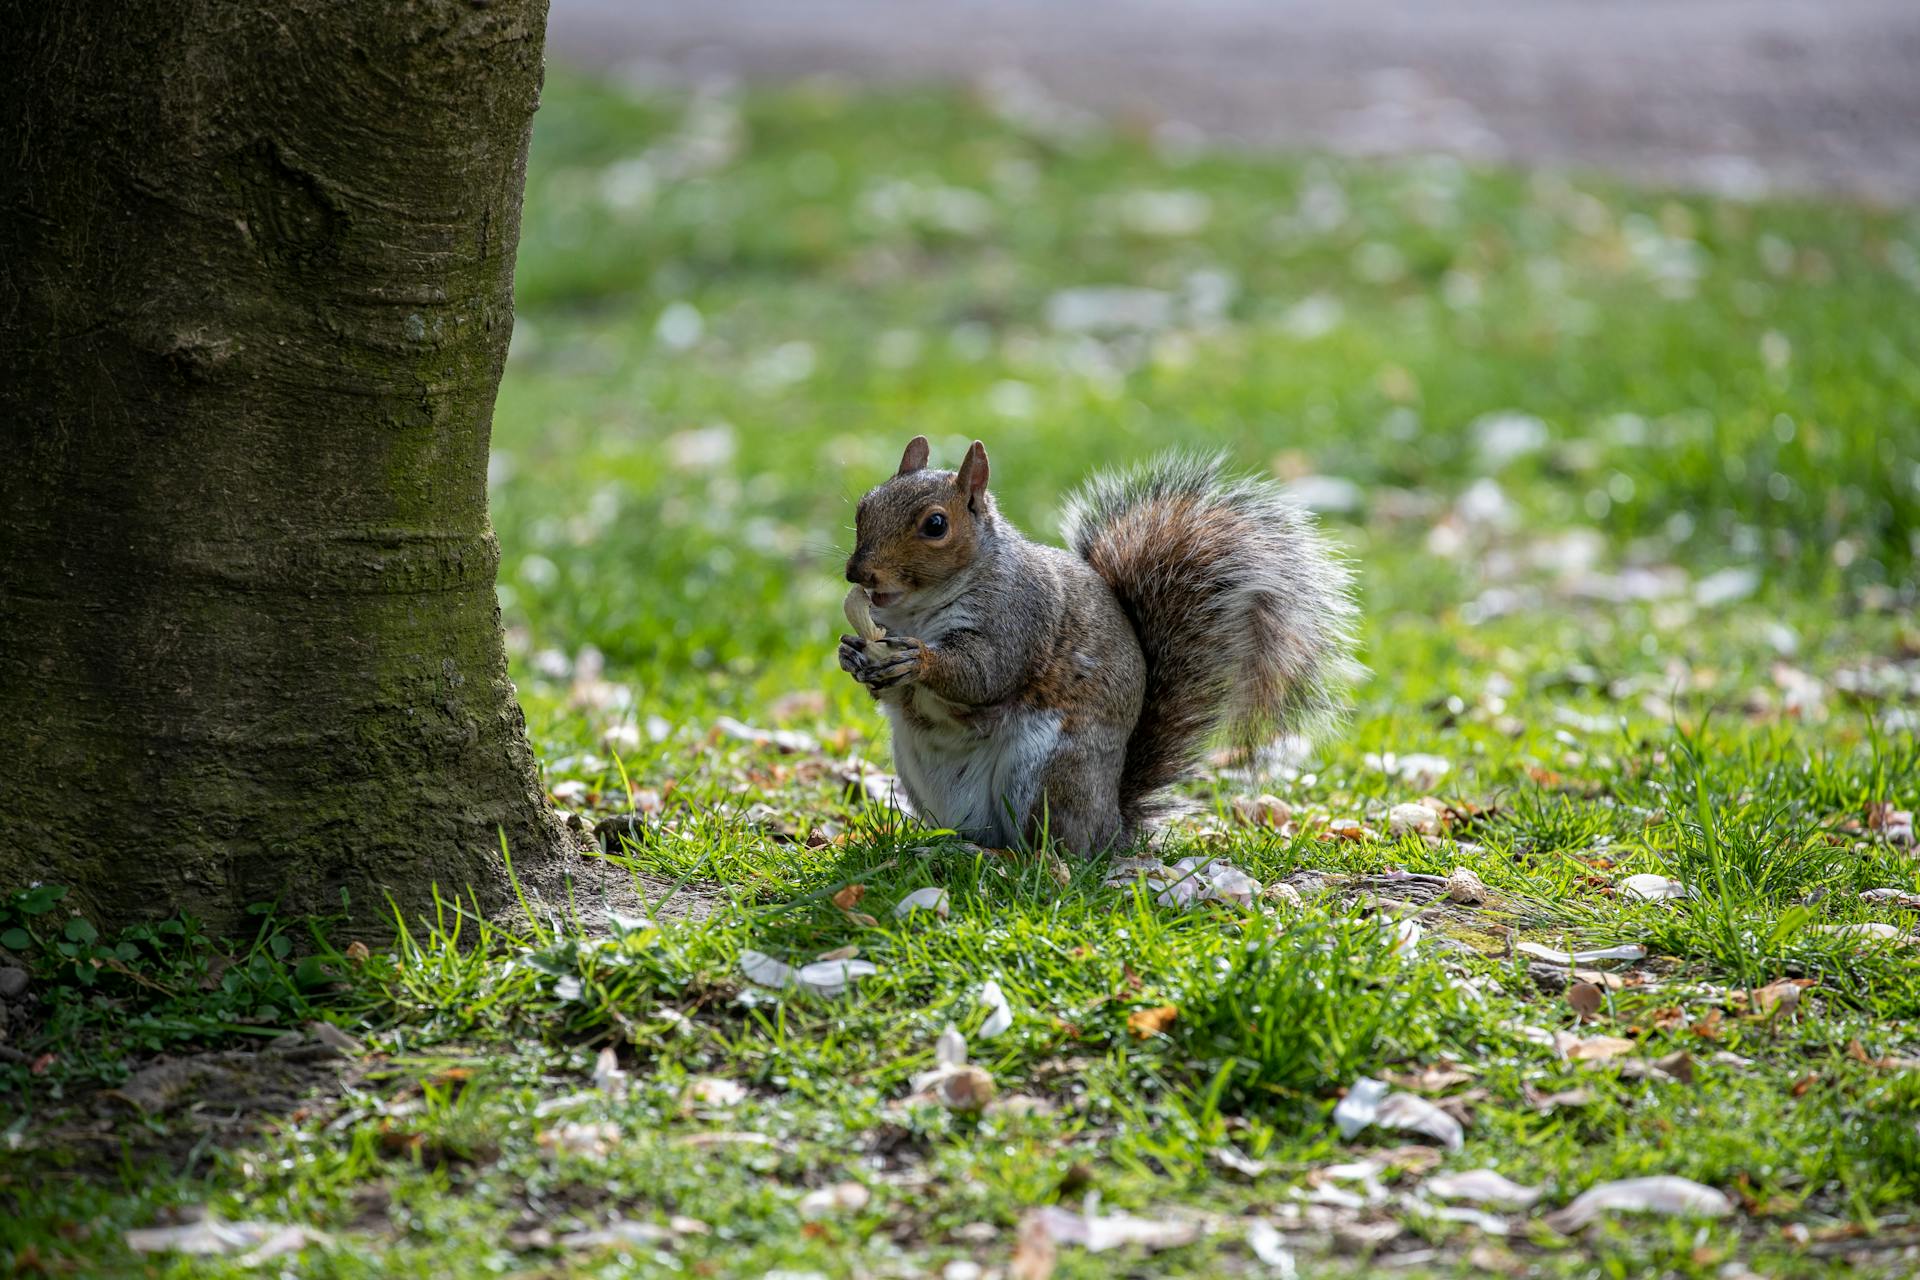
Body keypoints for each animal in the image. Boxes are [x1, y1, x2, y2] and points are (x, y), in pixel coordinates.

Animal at [838, 435, 1359, 854]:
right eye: (864, 506)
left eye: (935, 525)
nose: (858, 573)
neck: (916, 612)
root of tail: (1111, 823)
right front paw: (852, 654)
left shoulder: (1017, 615)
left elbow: (986, 672)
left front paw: (919, 660)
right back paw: (953, 846)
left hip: (1047, 775)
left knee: (1053, 846)